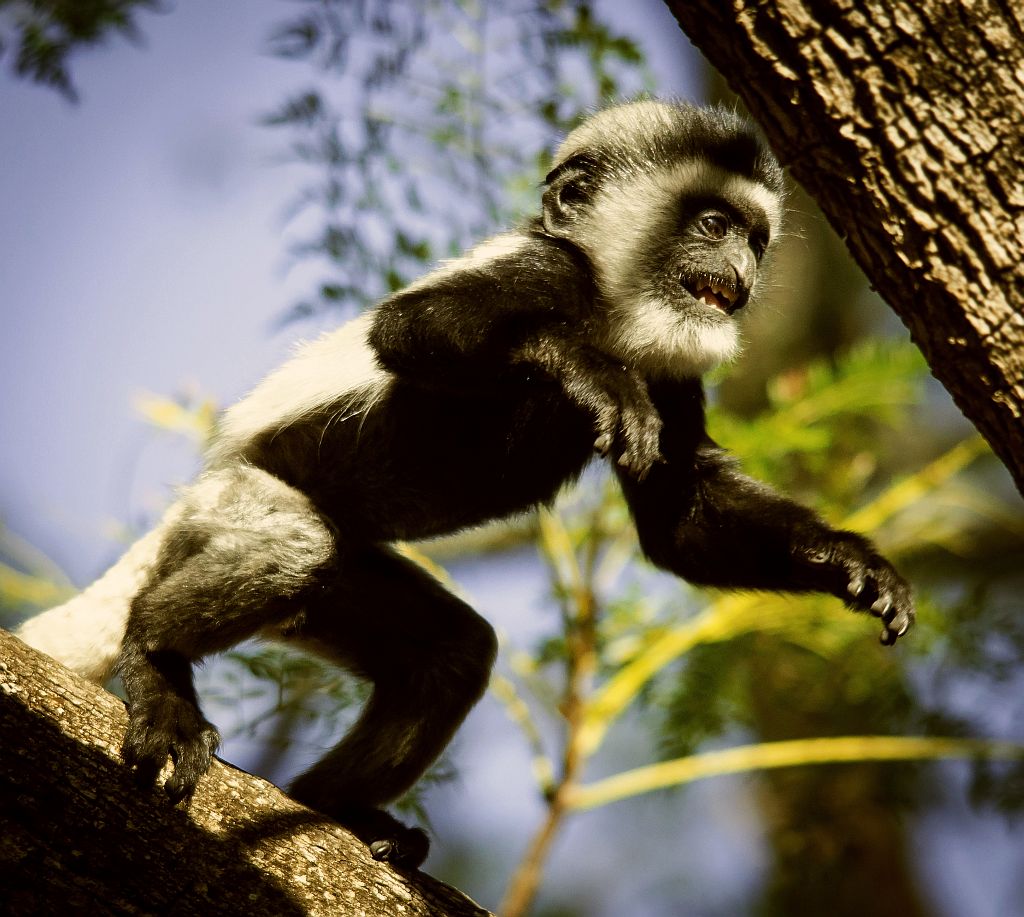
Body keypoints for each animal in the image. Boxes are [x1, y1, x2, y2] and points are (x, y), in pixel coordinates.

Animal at [16, 100, 914, 868]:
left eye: (756, 241)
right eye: (714, 224)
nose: (742, 269)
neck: (616, 310)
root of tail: (191, 499)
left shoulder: (673, 369)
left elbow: (678, 521)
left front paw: (854, 565)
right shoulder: (543, 267)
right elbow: (410, 330)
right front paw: (586, 374)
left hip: (341, 578)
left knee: (450, 652)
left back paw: (336, 808)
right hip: (239, 500)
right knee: (290, 544)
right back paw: (159, 664)